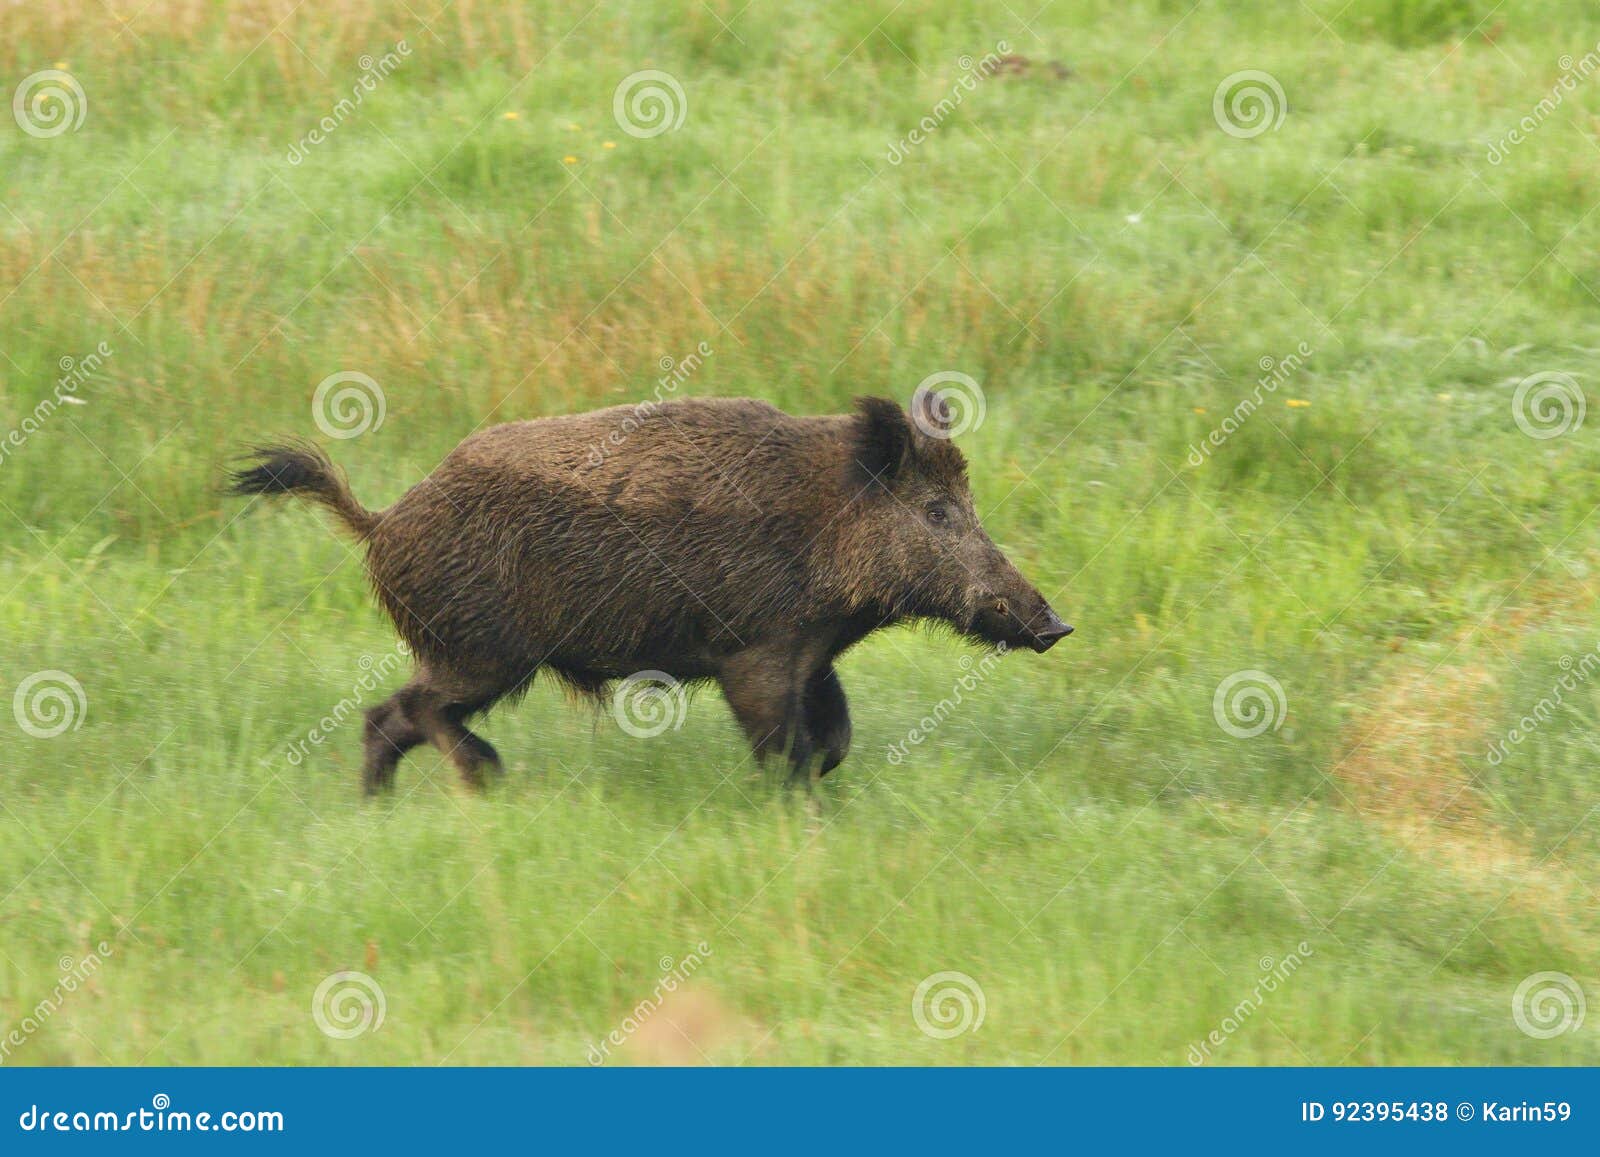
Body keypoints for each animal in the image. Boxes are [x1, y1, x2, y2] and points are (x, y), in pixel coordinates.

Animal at [228, 388, 1070, 792]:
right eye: (937, 512)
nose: (1054, 624)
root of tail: (379, 521)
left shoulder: (812, 657)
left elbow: (834, 739)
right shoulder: (752, 653)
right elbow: (787, 747)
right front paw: (798, 812)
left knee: (387, 719)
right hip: (483, 652)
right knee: (410, 709)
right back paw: (486, 775)